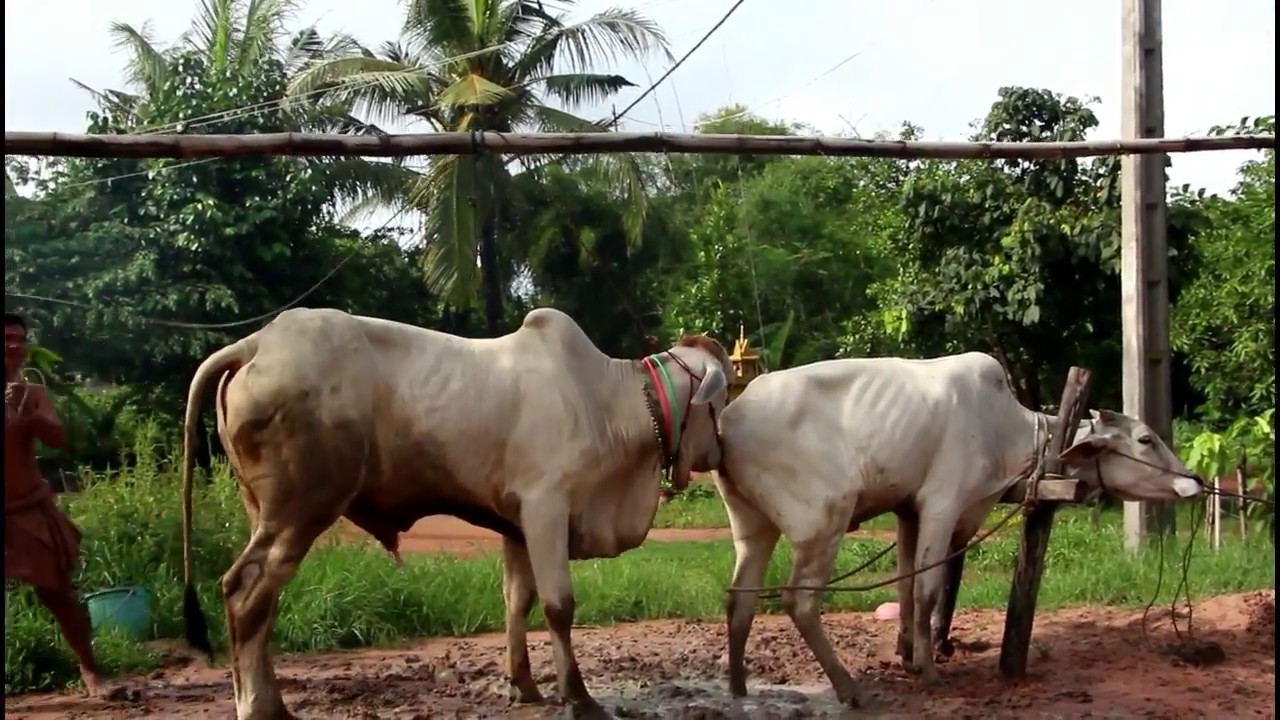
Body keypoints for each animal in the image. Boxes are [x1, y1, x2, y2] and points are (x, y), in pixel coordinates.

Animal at [178, 307, 732, 720]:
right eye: (722, 396)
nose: (721, 451)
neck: (609, 403)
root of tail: (256, 343)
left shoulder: (517, 524)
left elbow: (517, 600)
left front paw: (522, 685)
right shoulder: (546, 509)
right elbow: (558, 605)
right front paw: (578, 697)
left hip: (265, 511)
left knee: (258, 602)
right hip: (300, 510)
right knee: (245, 592)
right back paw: (261, 707)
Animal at [712, 351, 1202, 706]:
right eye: (1145, 439)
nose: (1193, 480)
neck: (1007, 428)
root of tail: (729, 420)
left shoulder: (908, 512)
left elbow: (907, 589)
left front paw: (910, 657)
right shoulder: (941, 505)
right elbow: (928, 591)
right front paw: (929, 672)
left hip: (752, 525)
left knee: (740, 598)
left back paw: (738, 687)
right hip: (823, 522)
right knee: (800, 601)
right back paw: (848, 688)